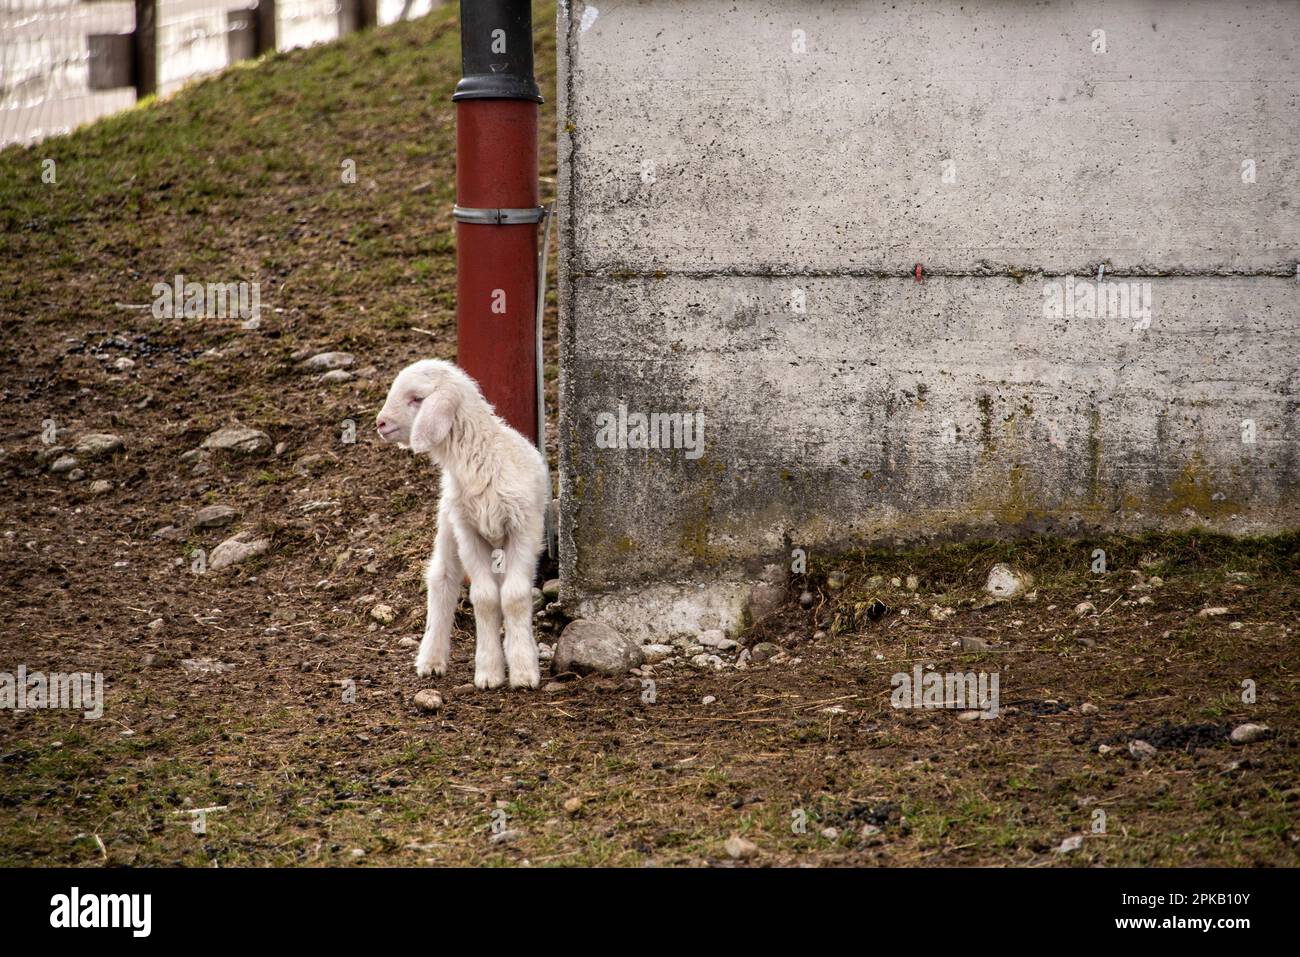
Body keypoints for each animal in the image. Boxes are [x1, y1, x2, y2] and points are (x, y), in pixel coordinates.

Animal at [376, 359, 548, 689]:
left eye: (416, 398)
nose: (381, 423)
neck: (481, 459)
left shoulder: (524, 529)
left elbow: (515, 596)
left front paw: (523, 670)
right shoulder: (467, 533)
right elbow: (484, 598)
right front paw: (489, 671)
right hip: (447, 524)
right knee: (442, 578)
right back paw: (431, 659)